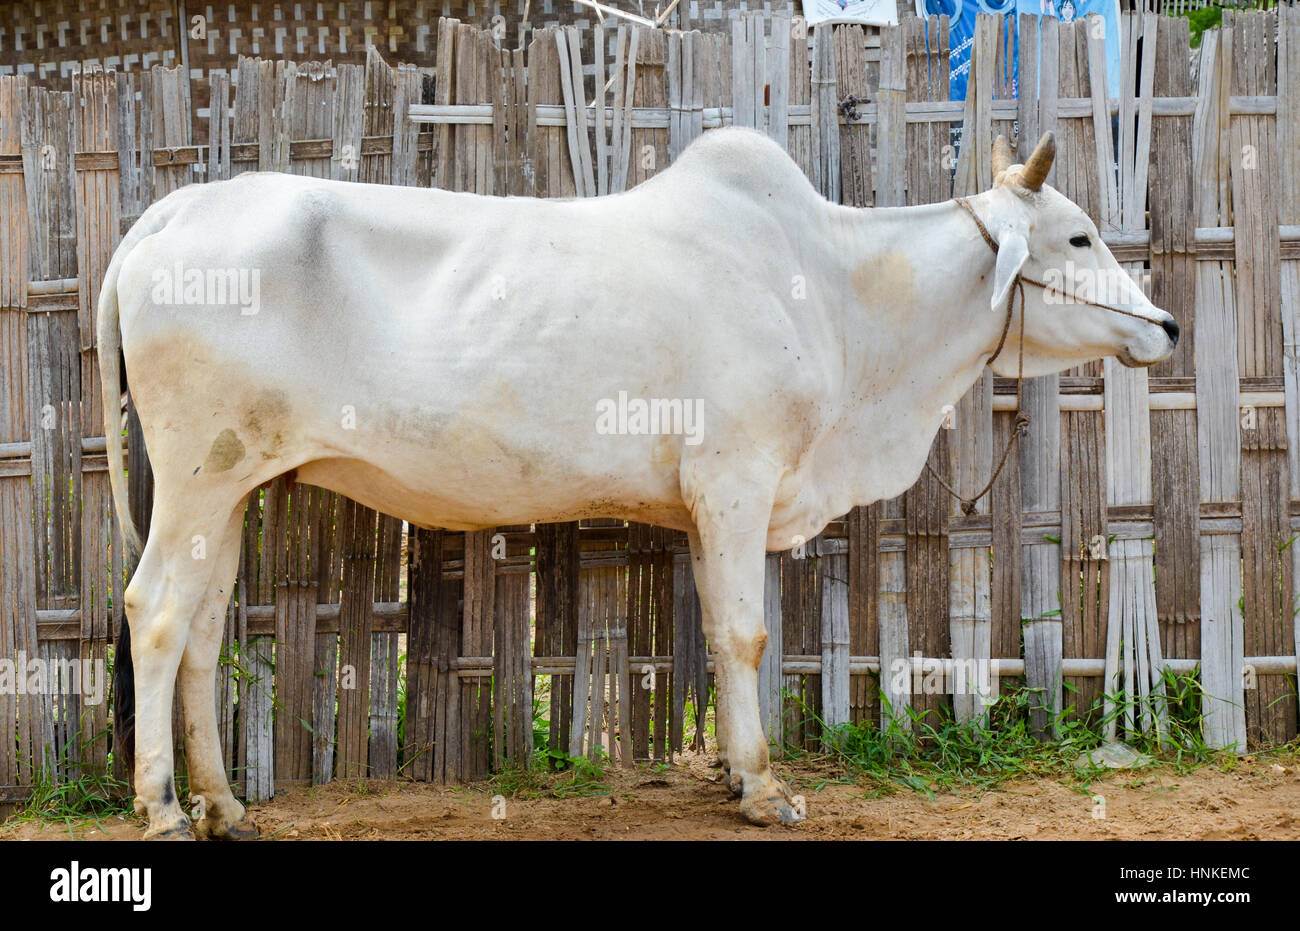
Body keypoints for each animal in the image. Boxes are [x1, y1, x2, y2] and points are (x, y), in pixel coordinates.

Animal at [98, 127, 1177, 839]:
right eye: (1077, 237)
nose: (1165, 326)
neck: (838, 291)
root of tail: (166, 215)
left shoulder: (705, 505)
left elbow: (724, 634)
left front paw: (733, 775)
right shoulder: (737, 479)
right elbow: (744, 635)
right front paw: (763, 789)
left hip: (231, 488)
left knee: (202, 632)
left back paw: (225, 803)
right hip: (197, 475)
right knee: (155, 613)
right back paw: (162, 807)